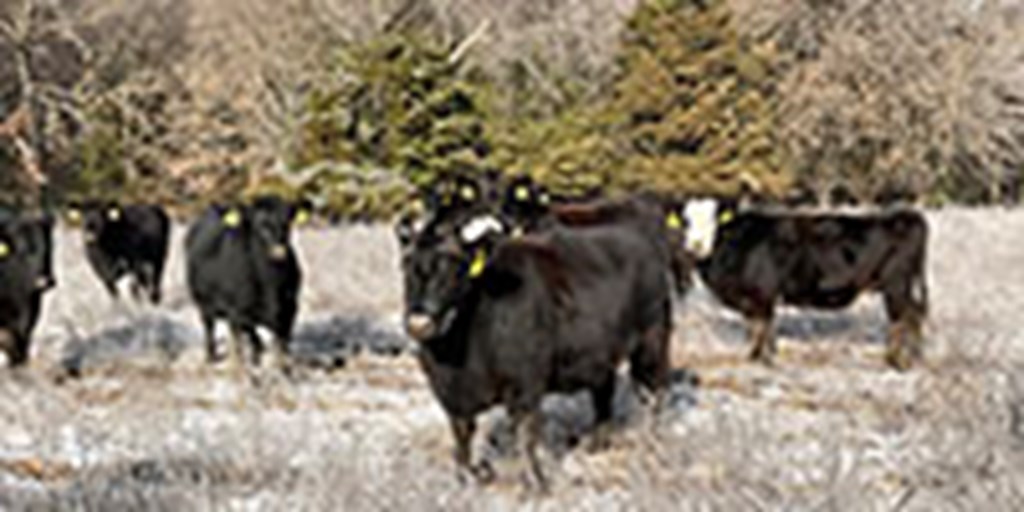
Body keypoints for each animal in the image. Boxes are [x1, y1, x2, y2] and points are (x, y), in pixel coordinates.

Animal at [185, 196, 309, 377]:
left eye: (288, 222)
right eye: (260, 225)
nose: (279, 252)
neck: (270, 285)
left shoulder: (289, 308)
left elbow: (282, 343)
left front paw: (285, 369)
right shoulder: (236, 311)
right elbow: (243, 341)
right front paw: (242, 370)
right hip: (203, 304)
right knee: (210, 328)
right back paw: (211, 357)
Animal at [399, 211, 672, 489]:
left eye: (455, 267)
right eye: (406, 264)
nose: (419, 323)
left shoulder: (525, 384)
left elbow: (525, 433)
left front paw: (536, 482)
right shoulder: (449, 394)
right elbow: (462, 434)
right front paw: (466, 476)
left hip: (652, 340)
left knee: (654, 391)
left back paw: (653, 438)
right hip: (598, 356)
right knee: (603, 395)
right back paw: (596, 443)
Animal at [682, 198, 929, 370]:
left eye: (715, 221)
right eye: (686, 222)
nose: (696, 245)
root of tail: (905, 215)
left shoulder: (763, 292)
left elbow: (762, 326)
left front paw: (762, 358)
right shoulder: (753, 298)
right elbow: (757, 326)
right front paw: (759, 355)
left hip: (896, 284)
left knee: (902, 318)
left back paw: (895, 361)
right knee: (914, 315)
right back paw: (914, 356)